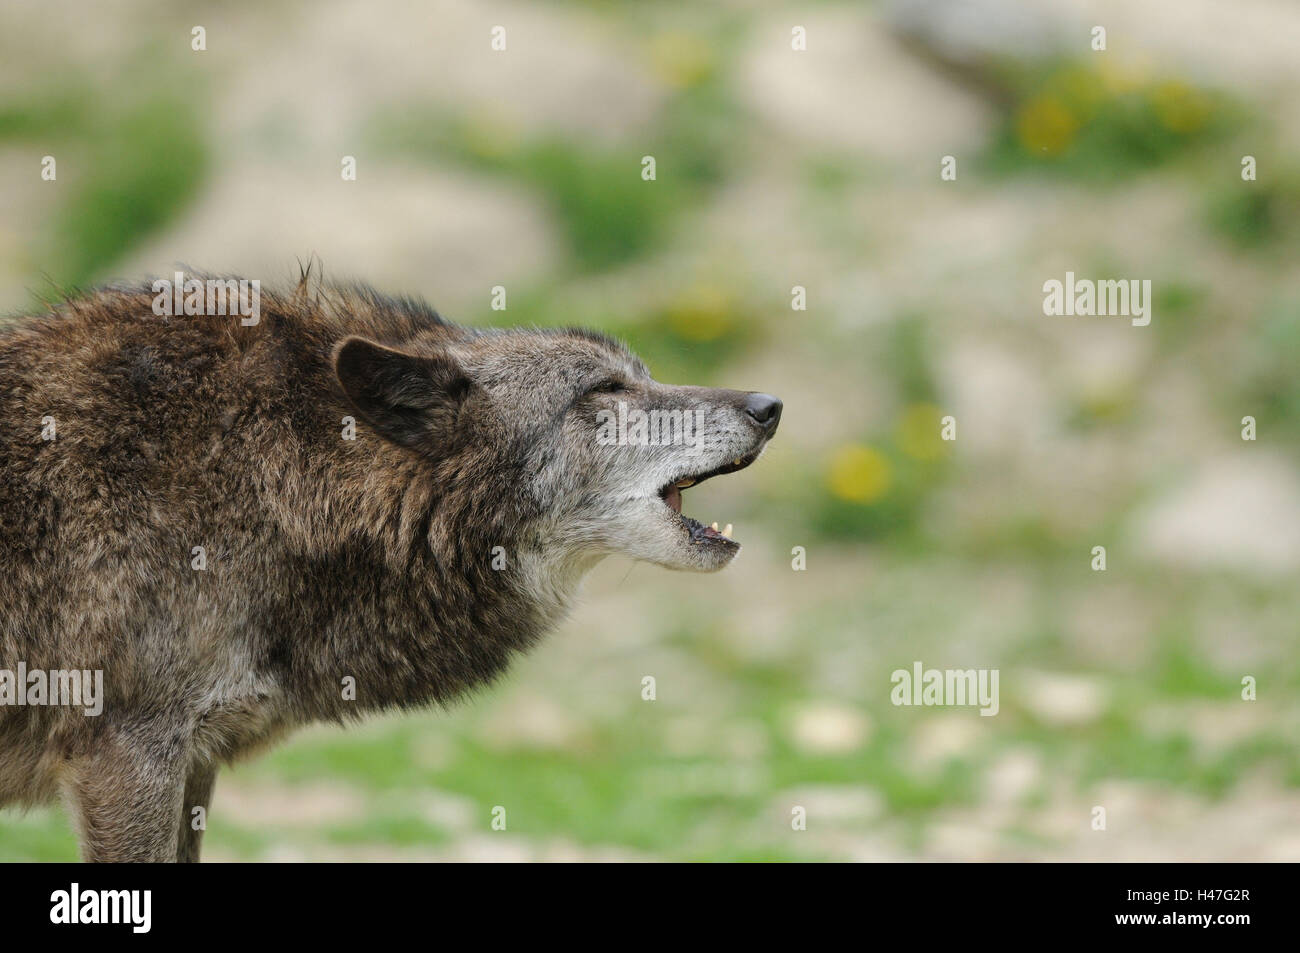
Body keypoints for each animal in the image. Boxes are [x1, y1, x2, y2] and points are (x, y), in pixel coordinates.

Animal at [0, 275, 781, 862]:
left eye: (640, 375)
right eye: (604, 391)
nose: (769, 404)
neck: (267, 474)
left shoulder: (190, 762)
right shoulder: (131, 756)